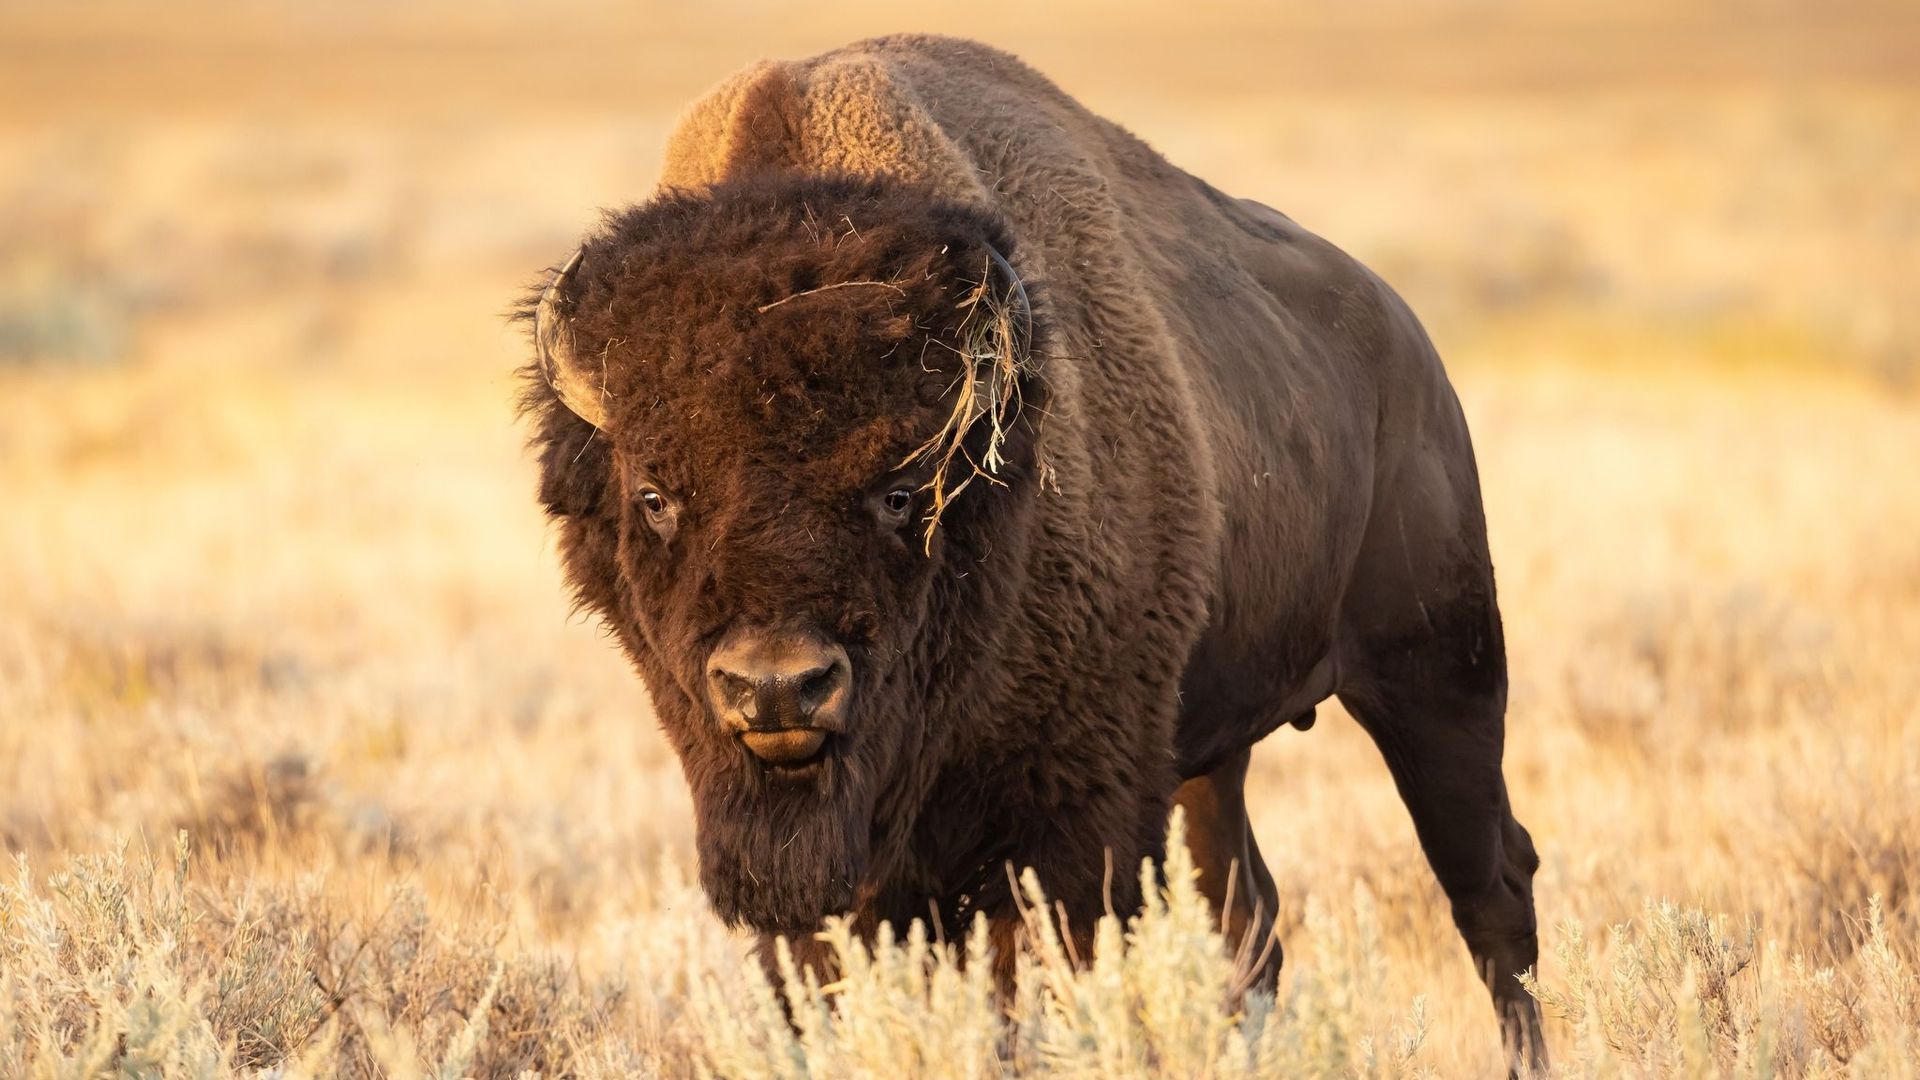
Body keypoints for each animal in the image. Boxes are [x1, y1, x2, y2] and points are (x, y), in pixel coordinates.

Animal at [520, 34, 1544, 1070]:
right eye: (654, 496)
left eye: (903, 491)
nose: (778, 688)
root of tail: (1410, 347)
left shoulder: (1060, 830)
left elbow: (1024, 998)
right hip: (1215, 752)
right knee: (1248, 918)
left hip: (1438, 675)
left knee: (1492, 887)